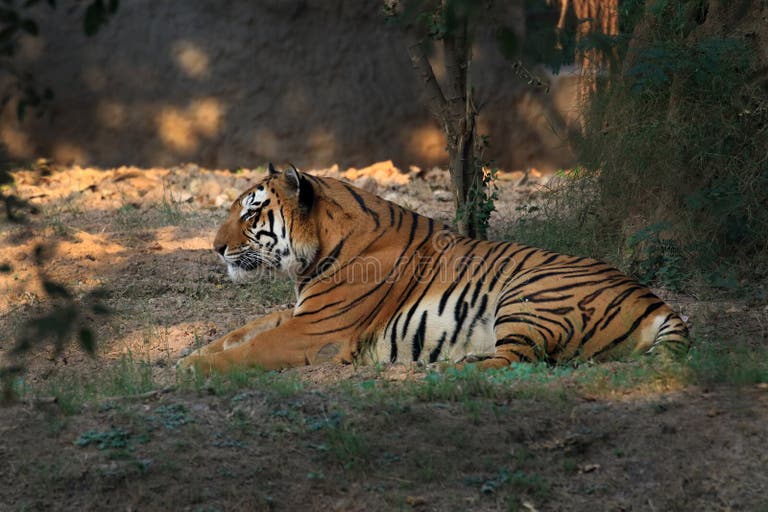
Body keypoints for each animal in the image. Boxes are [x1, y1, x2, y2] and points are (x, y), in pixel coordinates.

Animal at [177, 163, 689, 375]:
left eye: (250, 213)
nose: (215, 248)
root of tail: (657, 303)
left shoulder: (314, 330)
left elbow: (250, 347)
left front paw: (192, 370)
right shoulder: (297, 313)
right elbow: (239, 333)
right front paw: (185, 358)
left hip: (531, 296)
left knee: (517, 360)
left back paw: (450, 367)